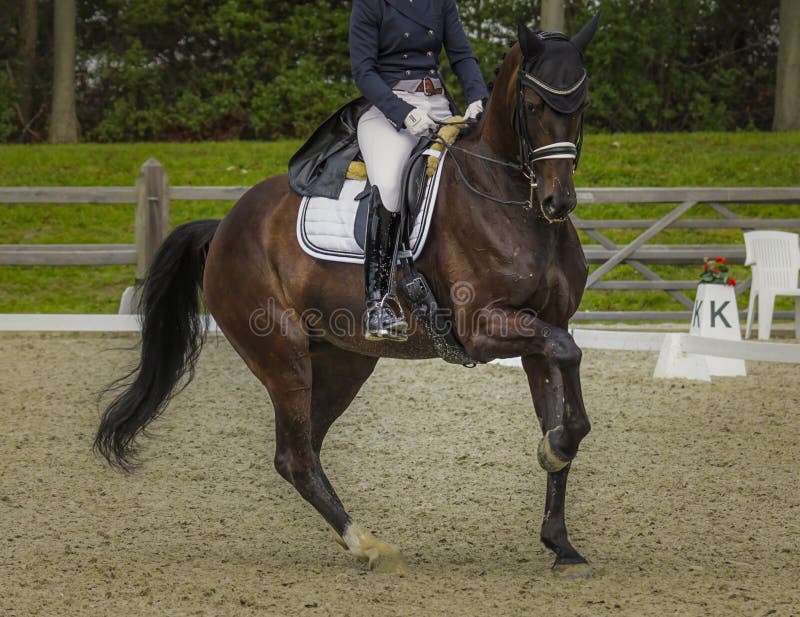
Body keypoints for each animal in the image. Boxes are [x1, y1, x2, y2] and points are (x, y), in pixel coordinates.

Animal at [95, 15, 600, 578]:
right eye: (533, 106)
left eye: (581, 104)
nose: (559, 201)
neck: (513, 204)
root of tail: (225, 224)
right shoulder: (481, 328)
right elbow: (568, 356)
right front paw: (556, 450)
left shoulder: (543, 328)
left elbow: (561, 390)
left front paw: (562, 540)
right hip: (283, 355)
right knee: (295, 456)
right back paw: (368, 545)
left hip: (343, 360)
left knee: (305, 449)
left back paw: (360, 540)